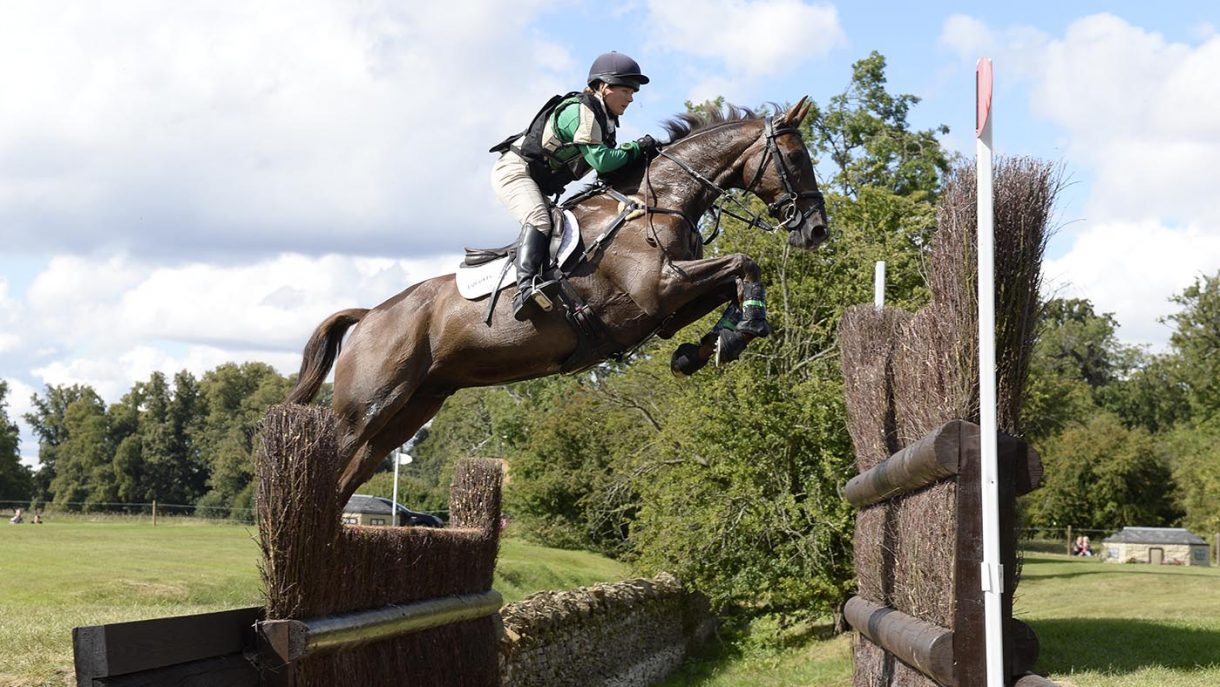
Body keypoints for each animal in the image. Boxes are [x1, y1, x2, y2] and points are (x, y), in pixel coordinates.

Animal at [287, 97, 829, 502]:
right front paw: (741, 333)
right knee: (331, 466)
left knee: (350, 478)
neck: (659, 201)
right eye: (796, 159)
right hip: (365, 408)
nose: (817, 230)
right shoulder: (660, 288)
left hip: (413, 407)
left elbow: (732, 282)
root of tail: (370, 316)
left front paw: (709, 346)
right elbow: (744, 263)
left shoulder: (667, 307)